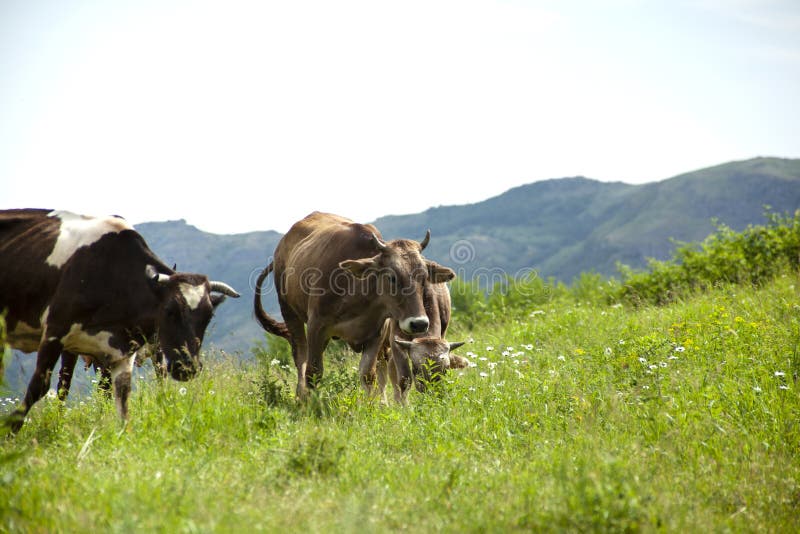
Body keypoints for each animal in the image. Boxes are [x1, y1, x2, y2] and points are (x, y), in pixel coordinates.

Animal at [0, 209, 239, 432]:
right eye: (170, 311)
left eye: (209, 316)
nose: (188, 367)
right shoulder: (55, 332)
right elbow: (41, 385)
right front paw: (12, 431)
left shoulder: (122, 352)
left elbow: (121, 399)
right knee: (62, 385)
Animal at [253, 211, 455, 399]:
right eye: (391, 277)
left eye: (424, 278)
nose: (419, 323)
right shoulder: (315, 326)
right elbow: (314, 372)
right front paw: (312, 405)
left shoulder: (377, 334)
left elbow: (368, 375)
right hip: (290, 313)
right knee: (301, 358)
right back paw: (300, 396)